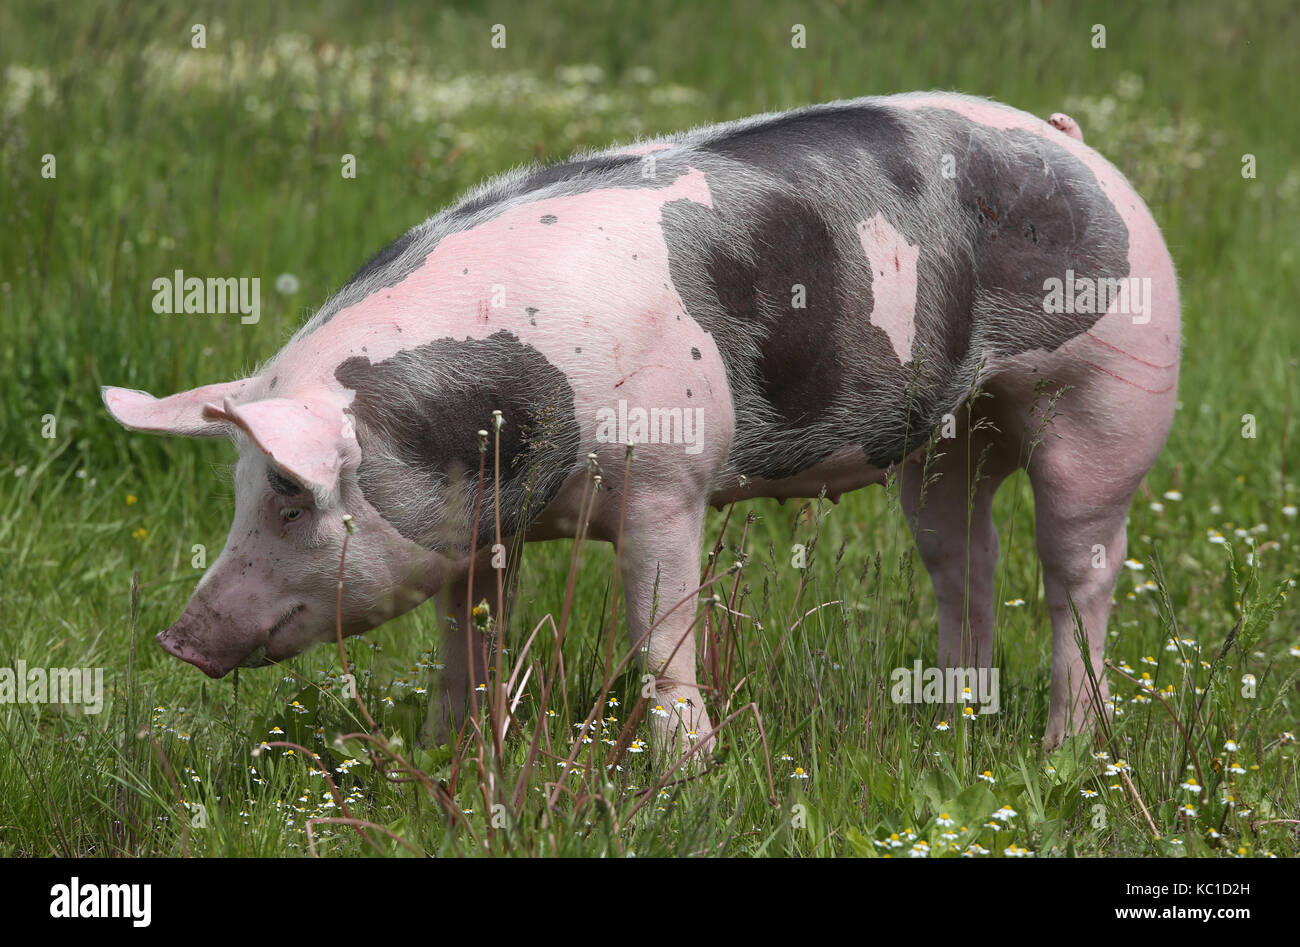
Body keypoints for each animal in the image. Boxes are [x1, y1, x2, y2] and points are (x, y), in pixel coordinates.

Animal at [104, 91, 1179, 753]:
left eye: (292, 498)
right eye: (243, 490)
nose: (176, 636)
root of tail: (1074, 141)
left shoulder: (669, 479)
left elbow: (660, 634)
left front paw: (685, 776)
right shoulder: (475, 529)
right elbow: (468, 641)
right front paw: (450, 754)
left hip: (1112, 389)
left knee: (1079, 566)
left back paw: (1066, 747)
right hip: (947, 434)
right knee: (964, 553)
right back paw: (950, 723)